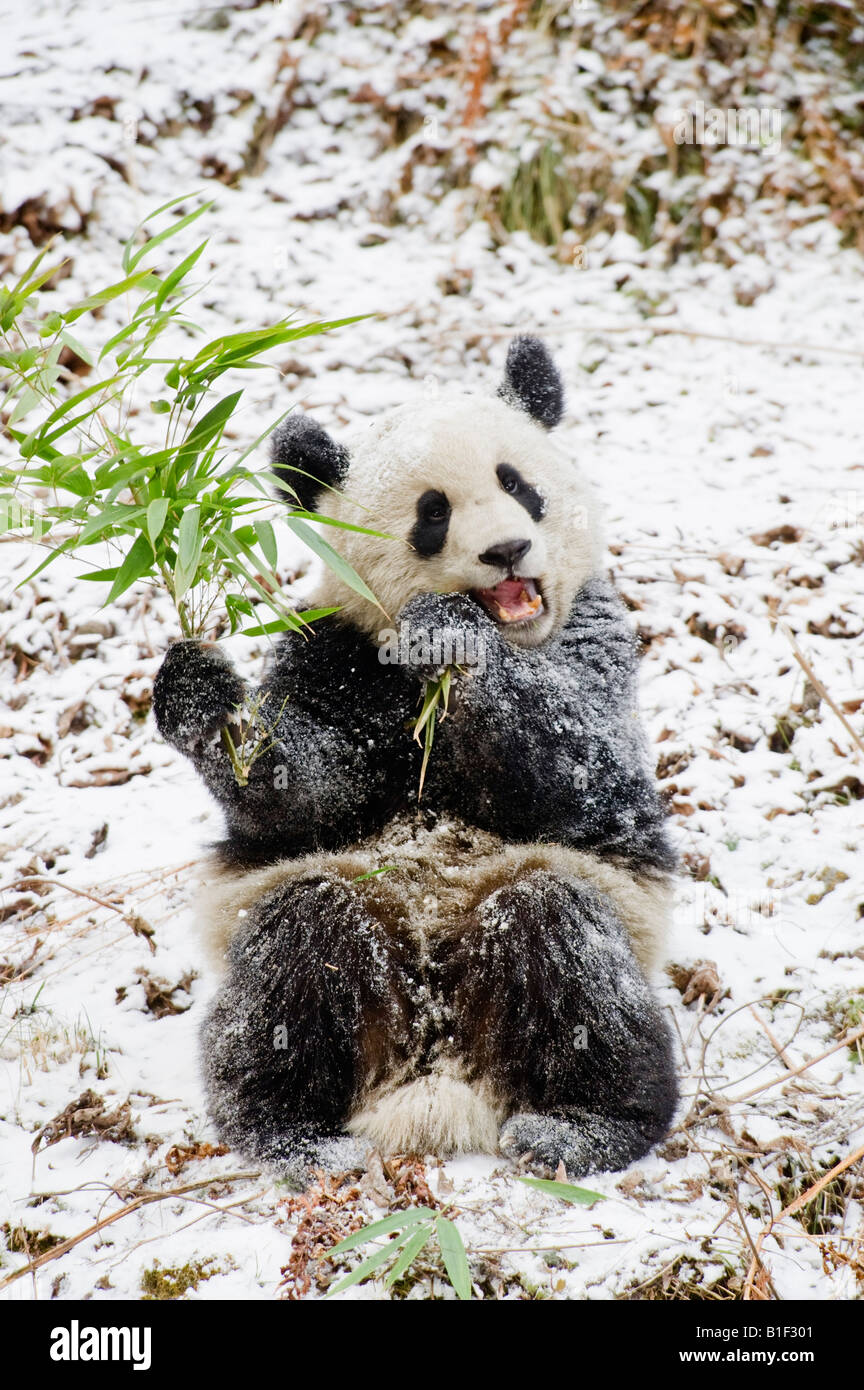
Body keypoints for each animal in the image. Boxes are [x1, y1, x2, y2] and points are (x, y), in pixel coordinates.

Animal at [152, 336, 678, 1185]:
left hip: (600, 924)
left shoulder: (595, 638)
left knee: (568, 948)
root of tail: (436, 1059)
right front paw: (203, 695)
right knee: (296, 954)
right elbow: (307, 793)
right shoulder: (333, 653)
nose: (506, 552)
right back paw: (295, 1135)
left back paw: (582, 1128)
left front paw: (454, 638)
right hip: (327, 950)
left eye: (516, 483)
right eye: (433, 514)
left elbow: (581, 771)